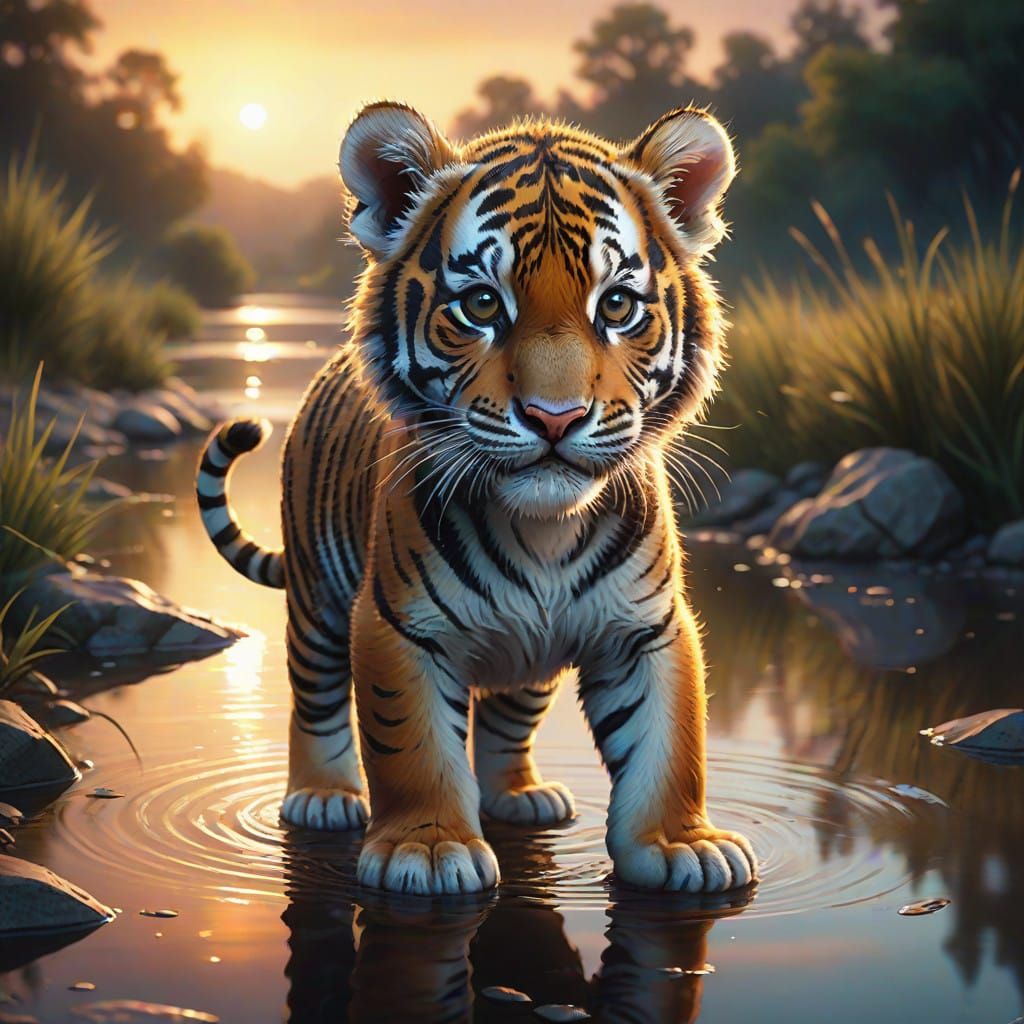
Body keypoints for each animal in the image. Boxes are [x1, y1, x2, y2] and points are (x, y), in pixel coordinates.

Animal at [197, 100, 758, 896]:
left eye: (617, 304)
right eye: (482, 304)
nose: (555, 416)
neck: (545, 530)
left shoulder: (646, 628)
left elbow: (669, 743)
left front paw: (683, 845)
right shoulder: (398, 625)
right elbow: (411, 746)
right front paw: (428, 850)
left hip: (529, 661)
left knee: (506, 722)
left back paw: (521, 795)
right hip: (315, 599)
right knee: (315, 699)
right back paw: (323, 796)